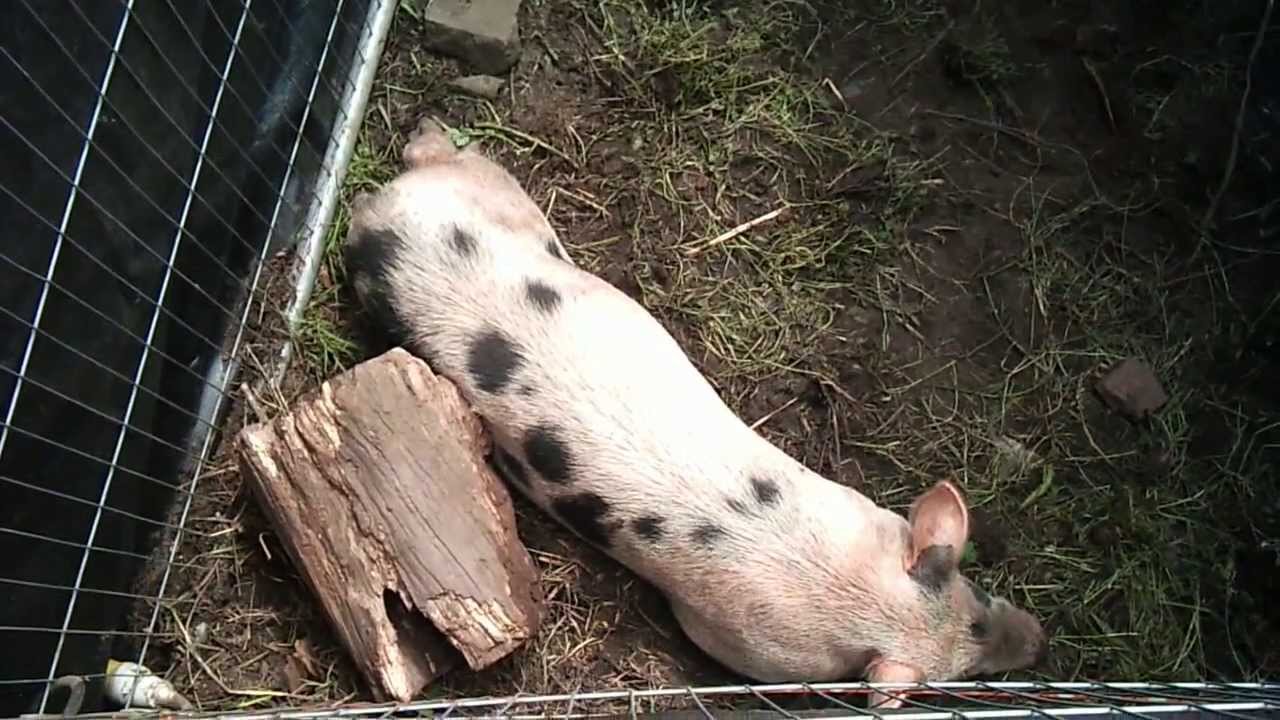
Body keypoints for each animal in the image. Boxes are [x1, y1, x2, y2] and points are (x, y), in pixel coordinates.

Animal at [341, 117, 1049, 703]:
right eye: (958, 677)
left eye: (979, 599)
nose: (1040, 640)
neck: (857, 594)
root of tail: (383, 216)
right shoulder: (736, 639)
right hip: (497, 198)